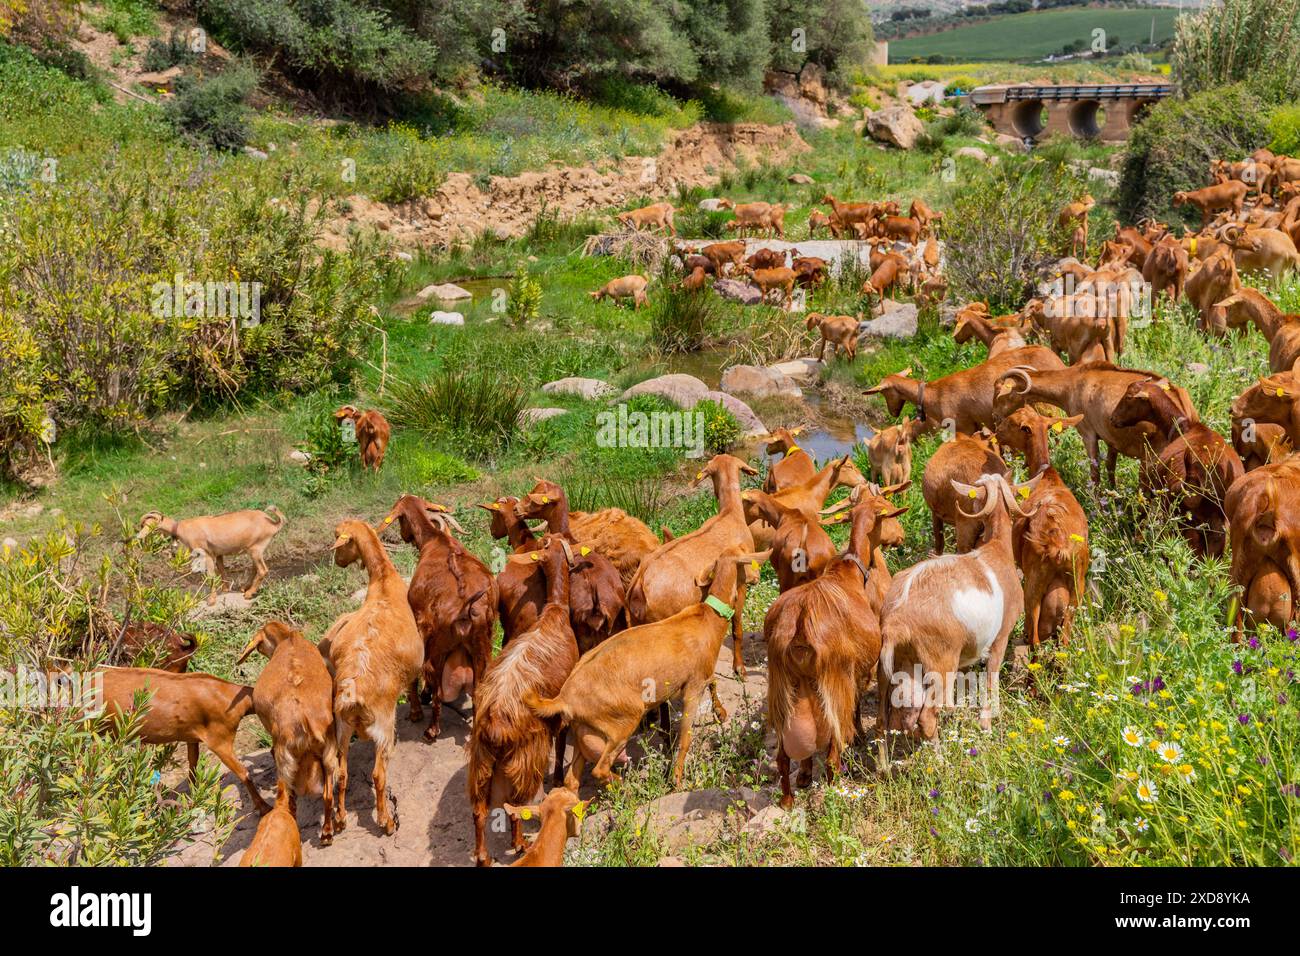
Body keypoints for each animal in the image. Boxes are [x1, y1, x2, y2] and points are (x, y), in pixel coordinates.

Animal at [137, 507, 285, 603]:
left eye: (147, 525)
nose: (138, 537)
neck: (181, 528)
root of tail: (274, 524)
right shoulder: (218, 553)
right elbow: (222, 570)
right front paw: (225, 590)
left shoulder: (206, 554)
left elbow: (210, 576)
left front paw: (211, 600)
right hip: (254, 550)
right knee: (256, 568)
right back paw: (245, 588)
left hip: (256, 549)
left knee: (263, 570)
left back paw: (248, 594)